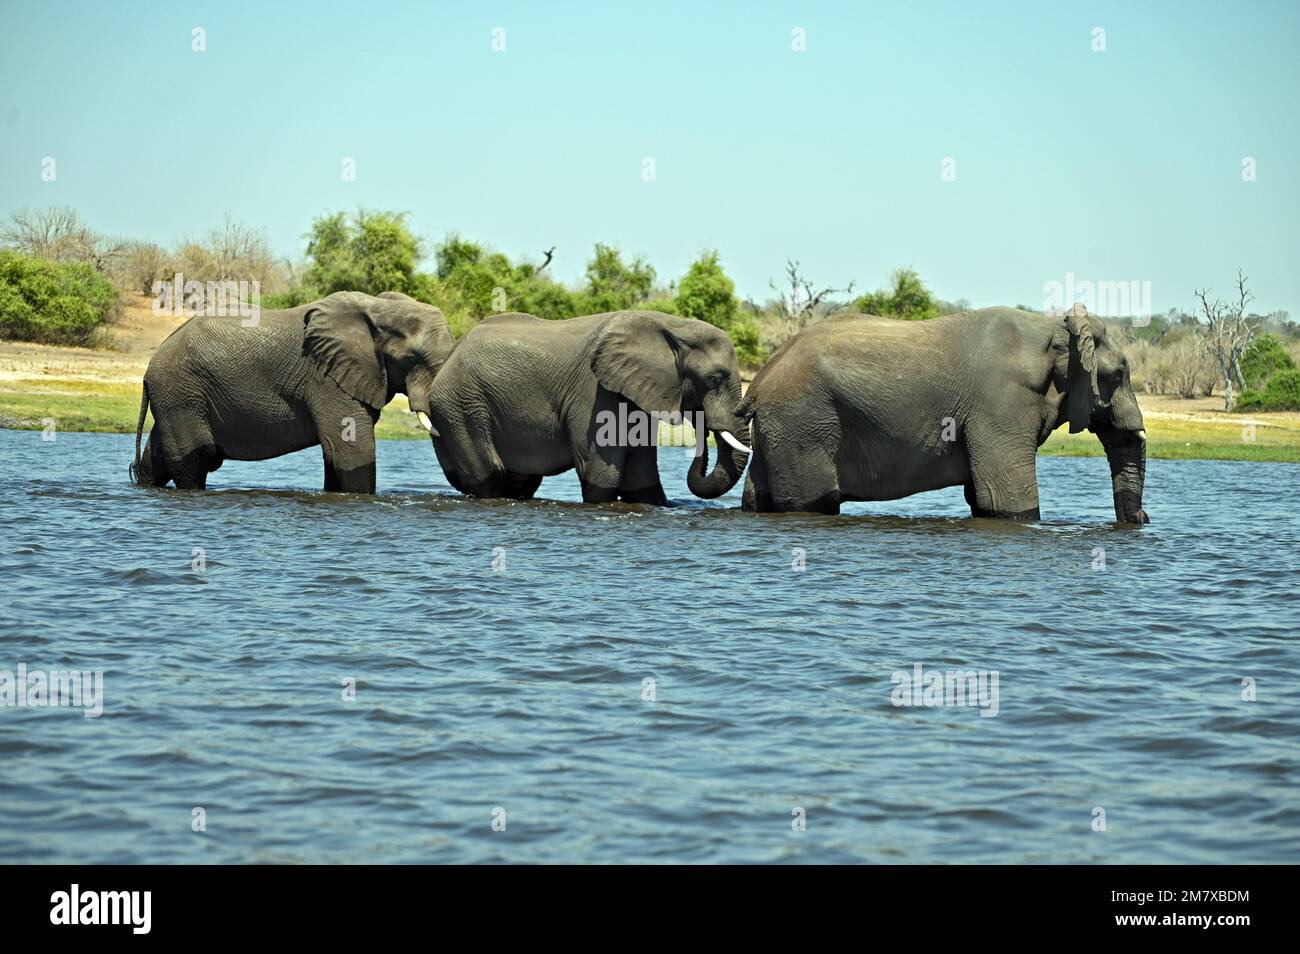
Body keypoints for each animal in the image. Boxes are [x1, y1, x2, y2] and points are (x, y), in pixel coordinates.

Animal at [130, 291, 454, 492]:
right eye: (413, 358)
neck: (380, 307)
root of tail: (149, 367)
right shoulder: (325, 378)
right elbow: (353, 450)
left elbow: (335, 454)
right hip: (181, 393)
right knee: (193, 460)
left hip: (175, 397)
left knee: (157, 456)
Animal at [422, 310, 751, 504]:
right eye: (714, 379)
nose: (703, 428)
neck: (671, 324)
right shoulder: (594, 392)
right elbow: (602, 473)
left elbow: (642, 477)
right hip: (462, 406)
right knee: (490, 477)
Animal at [740, 303, 1149, 523]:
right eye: (1119, 374)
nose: (1143, 521)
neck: (1052, 328)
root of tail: (761, 377)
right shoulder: (1001, 405)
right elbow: (1008, 501)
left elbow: (982, 499)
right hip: (802, 426)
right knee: (816, 501)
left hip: (781, 431)